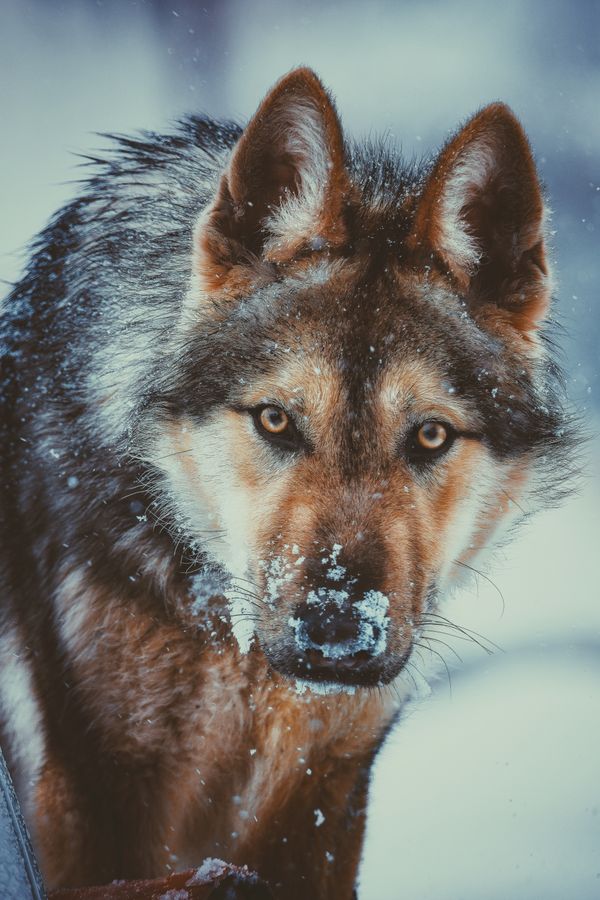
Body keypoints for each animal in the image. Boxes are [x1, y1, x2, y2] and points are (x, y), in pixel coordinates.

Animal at [0, 67, 573, 898]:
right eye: (276, 419)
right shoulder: (102, 802)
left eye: (430, 435)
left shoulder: (322, 806)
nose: (338, 627)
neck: (245, 669)